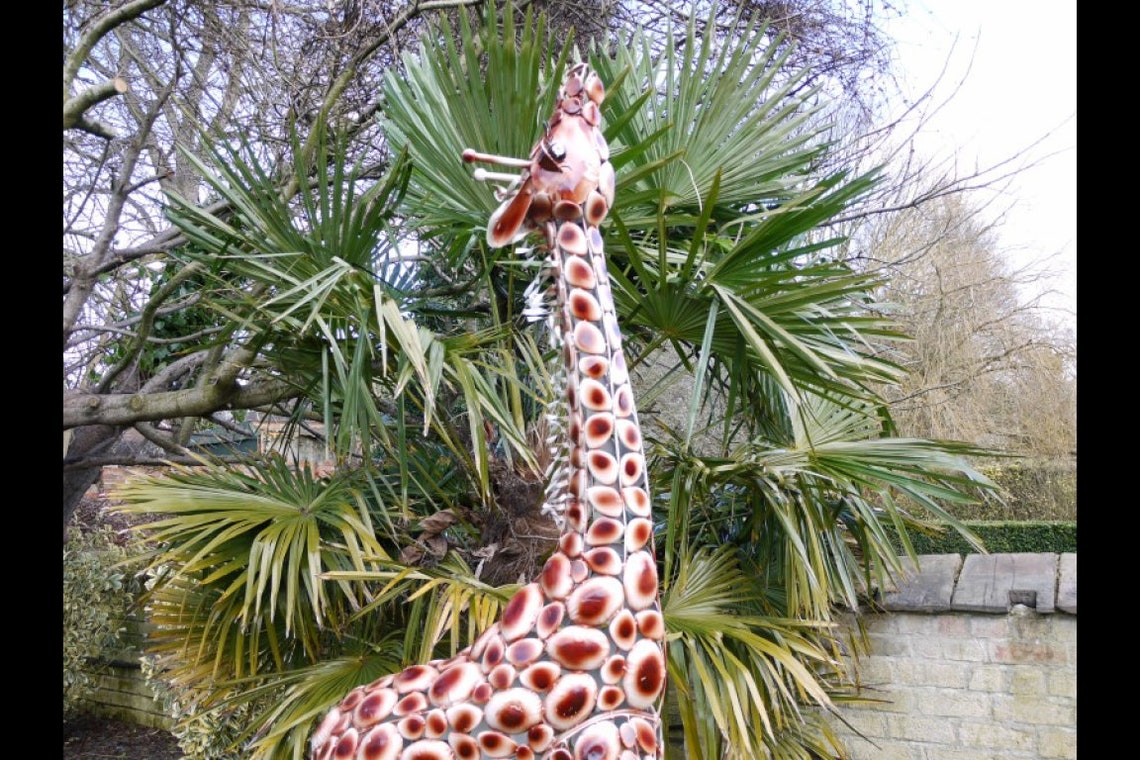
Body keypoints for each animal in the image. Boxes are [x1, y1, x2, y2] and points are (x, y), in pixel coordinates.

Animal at [310, 62, 666, 760]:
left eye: (604, 146)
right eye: (551, 154)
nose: (583, 74)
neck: (594, 557)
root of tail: (324, 728)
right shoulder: (618, 736)